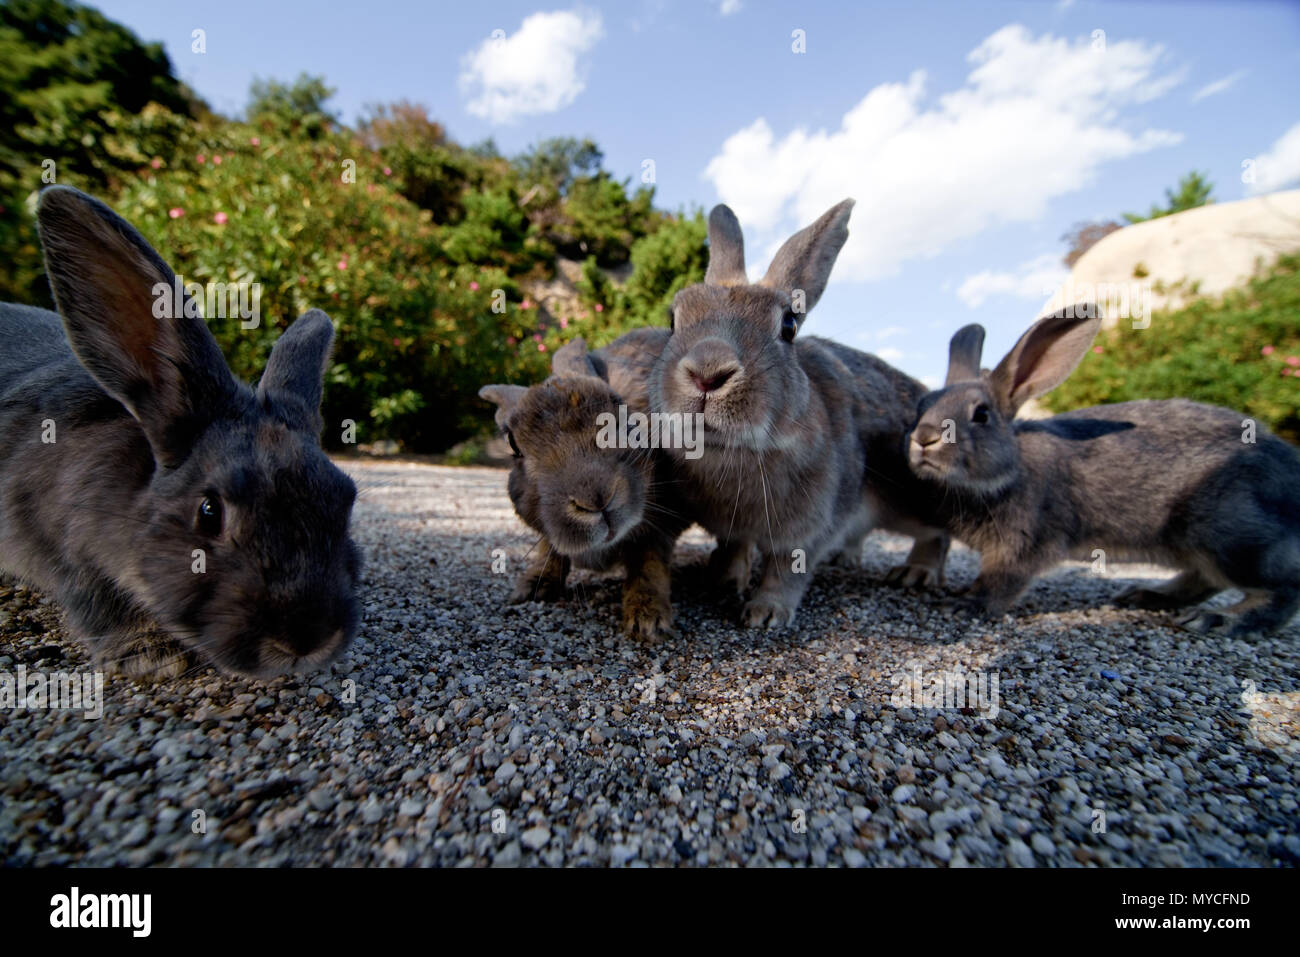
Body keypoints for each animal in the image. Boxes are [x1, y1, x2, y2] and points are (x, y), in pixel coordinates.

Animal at [0, 186, 362, 678]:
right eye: (209, 513)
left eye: (345, 502)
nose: (306, 639)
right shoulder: (62, 546)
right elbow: (96, 602)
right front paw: (154, 655)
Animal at [479, 328, 690, 640]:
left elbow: (648, 562)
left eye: (619, 407)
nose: (596, 499)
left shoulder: (662, 524)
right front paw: (531, 588)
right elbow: (550, 548)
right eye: (513, 446)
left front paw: (647, 619)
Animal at [649, 201, 950, 628]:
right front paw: (723, 581)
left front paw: (765, 613)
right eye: (674, 319)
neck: (733, 453)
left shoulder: (808, 531)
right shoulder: (732, 528)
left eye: (789, 325)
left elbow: (785, 571)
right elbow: (734, 547)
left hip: (910, 500)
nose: (707, 375)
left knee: (939, 531)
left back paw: (916, 573)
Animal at [905, 306, 1300, 636]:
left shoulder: (1023, 542)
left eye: (981, 414)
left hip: (1232, 536)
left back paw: (1219, 620)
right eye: (921, 407)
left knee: (1281, 590)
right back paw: (1148, 595)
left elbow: (1001, 581)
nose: (924, 439)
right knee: (1206, 580)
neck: (1010, 469)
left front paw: (967, 603)